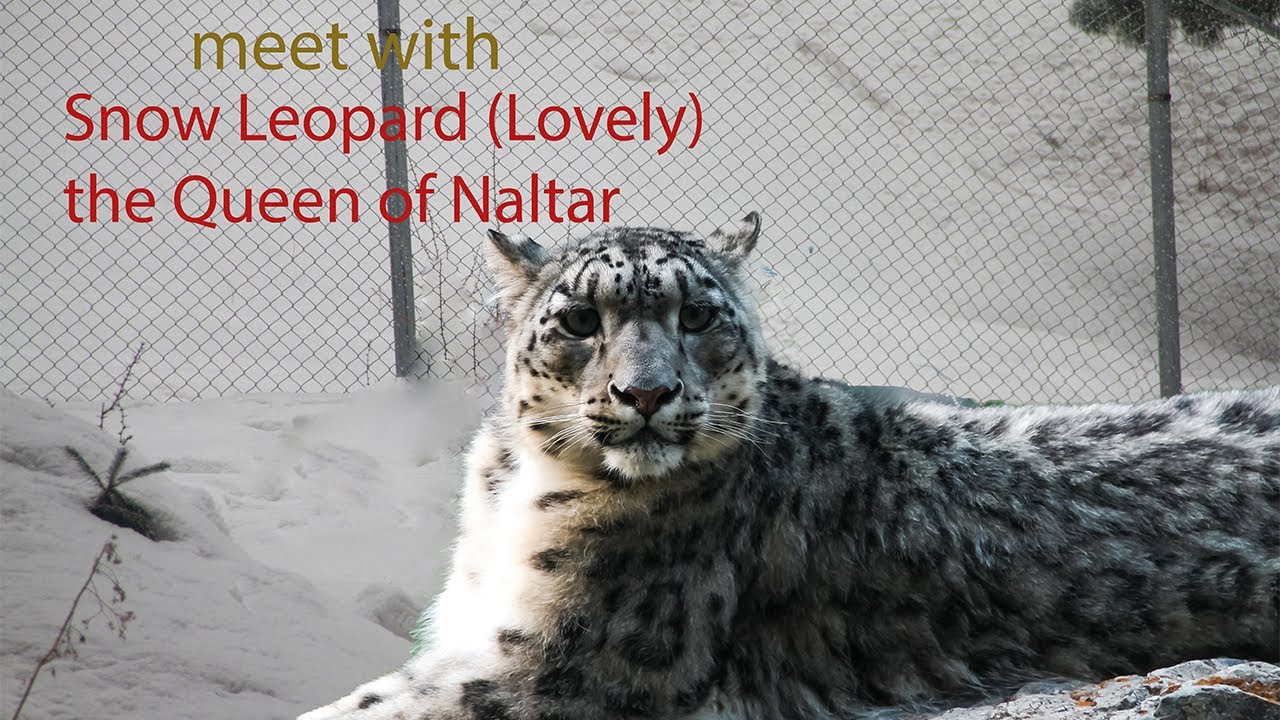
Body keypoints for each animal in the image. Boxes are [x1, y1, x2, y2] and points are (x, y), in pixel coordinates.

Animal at [300, 213, 1279, 720]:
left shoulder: (555, 663)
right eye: (579, 319)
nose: (646, 393)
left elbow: (368, 706)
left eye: (697, 315)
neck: (517, 494)